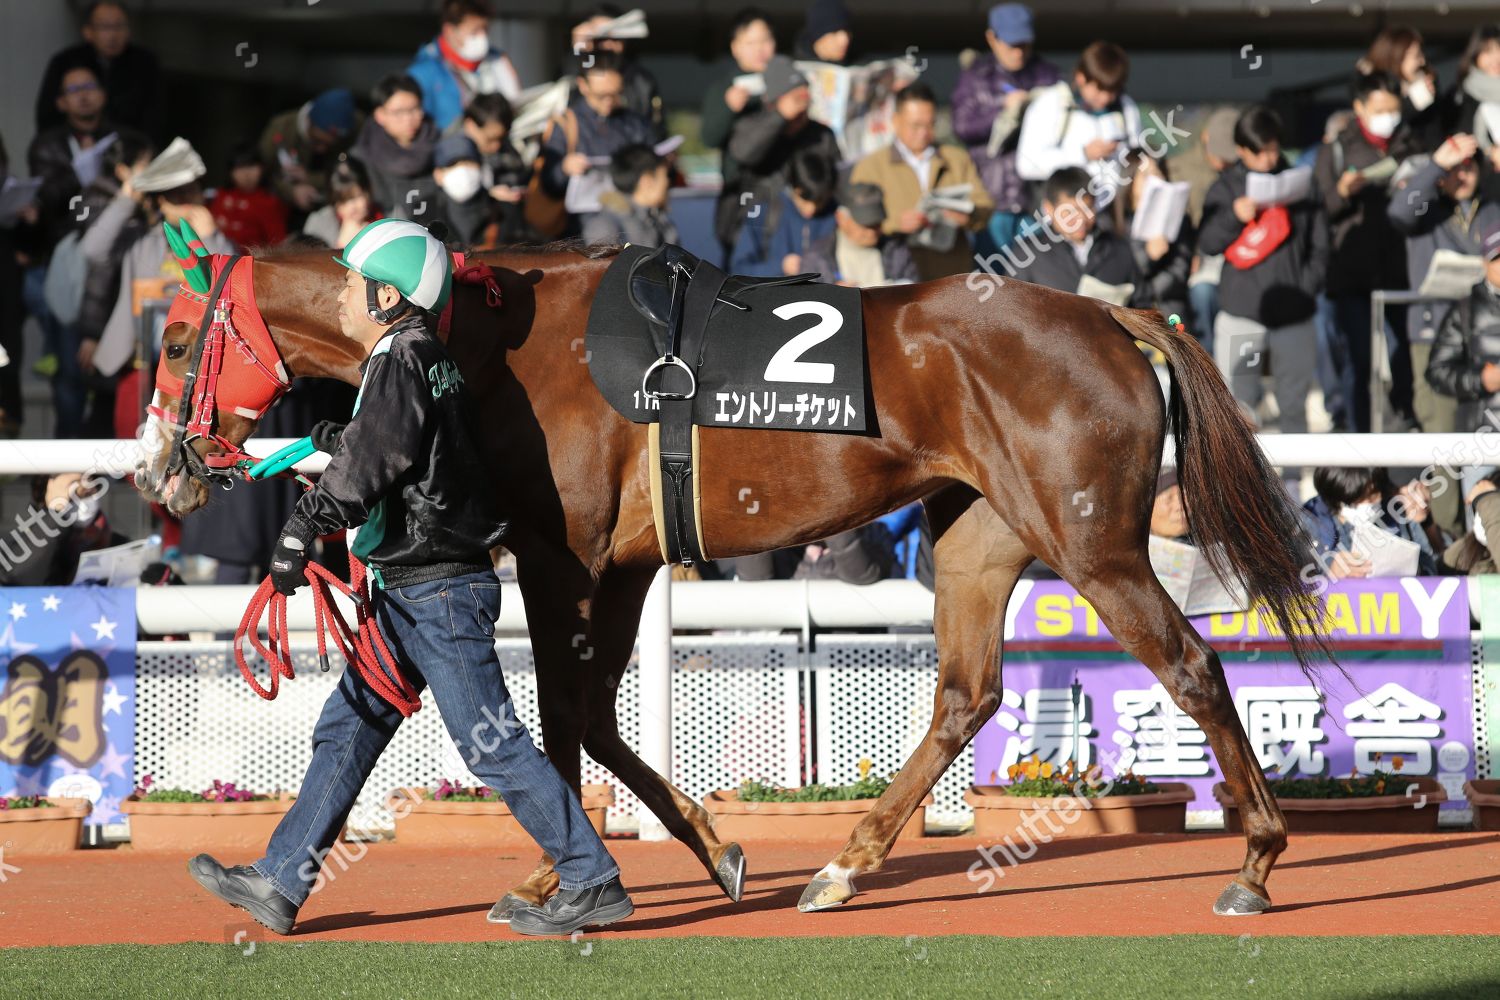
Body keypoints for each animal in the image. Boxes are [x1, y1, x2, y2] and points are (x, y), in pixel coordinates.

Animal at [137, 239, 1331, 919]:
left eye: (180, 337)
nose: (159, 465)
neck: (495, 345)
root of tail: (1115, 317)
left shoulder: (562, 554)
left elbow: (559, 720)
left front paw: (559, 879)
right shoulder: (614, 565)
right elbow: (588, 717)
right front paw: (709, 852)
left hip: (1091, 544)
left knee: (1190, 663)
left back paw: (1258, 860)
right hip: (977, 537)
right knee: (964, 693)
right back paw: (843, 865)